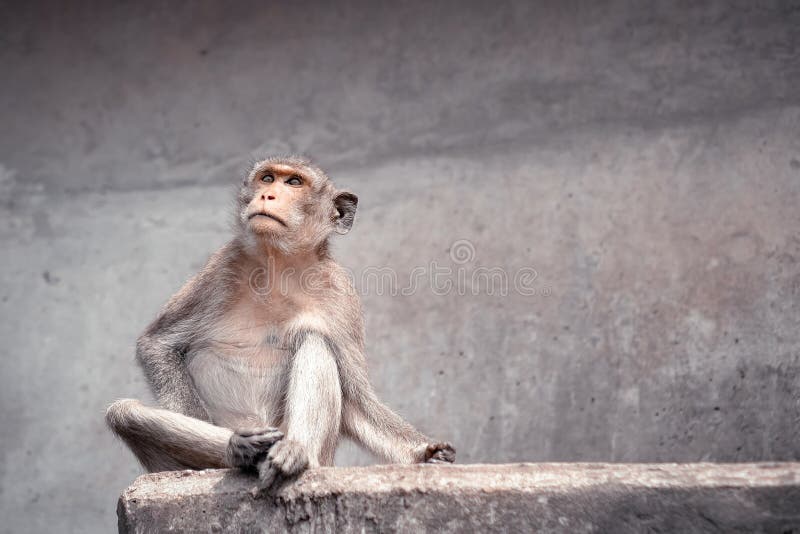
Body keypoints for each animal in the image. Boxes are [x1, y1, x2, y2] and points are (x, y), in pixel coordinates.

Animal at [106, 156, 455, 488]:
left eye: (294, 182)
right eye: (267, 177)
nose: (267, 195)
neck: (280, 267)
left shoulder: (342, 298)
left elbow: (357, 400)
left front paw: (425, 454)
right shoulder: (222, 268)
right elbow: (157, 344)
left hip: (320, 454)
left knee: (315, 341)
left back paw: (293, 454)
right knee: (123, 413)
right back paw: (240, 449)